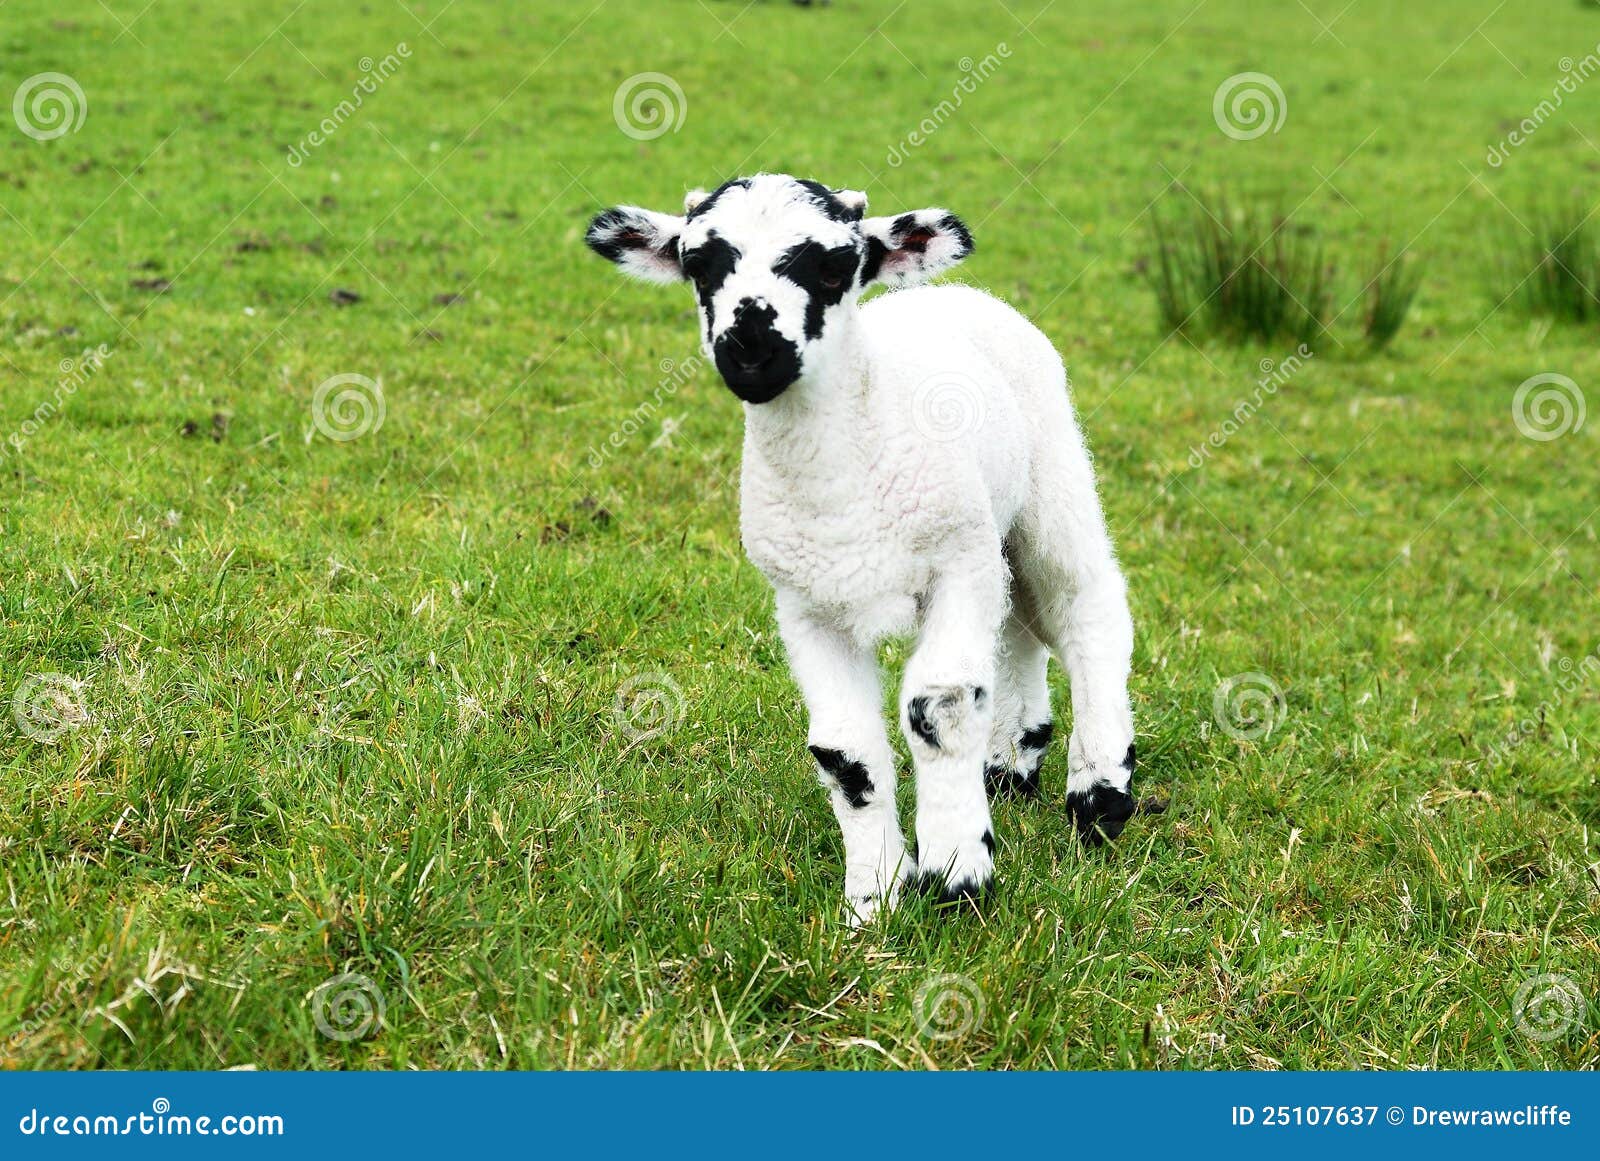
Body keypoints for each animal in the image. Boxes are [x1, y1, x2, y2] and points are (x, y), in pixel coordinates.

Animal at [586, 173, 1137, 923]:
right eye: (699, 265)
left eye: (832, 267)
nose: (751, 346)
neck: (841, 484)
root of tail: (960, 292)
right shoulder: (806, 604)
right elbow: (845, 753)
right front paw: (873, 899)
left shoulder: (954, 565)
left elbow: (940, 705)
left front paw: (957, 873)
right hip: (994, 530)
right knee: (1019, 624)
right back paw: (1011, 763)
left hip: (1052, 474)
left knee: (1084, 607)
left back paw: (1100, 792)